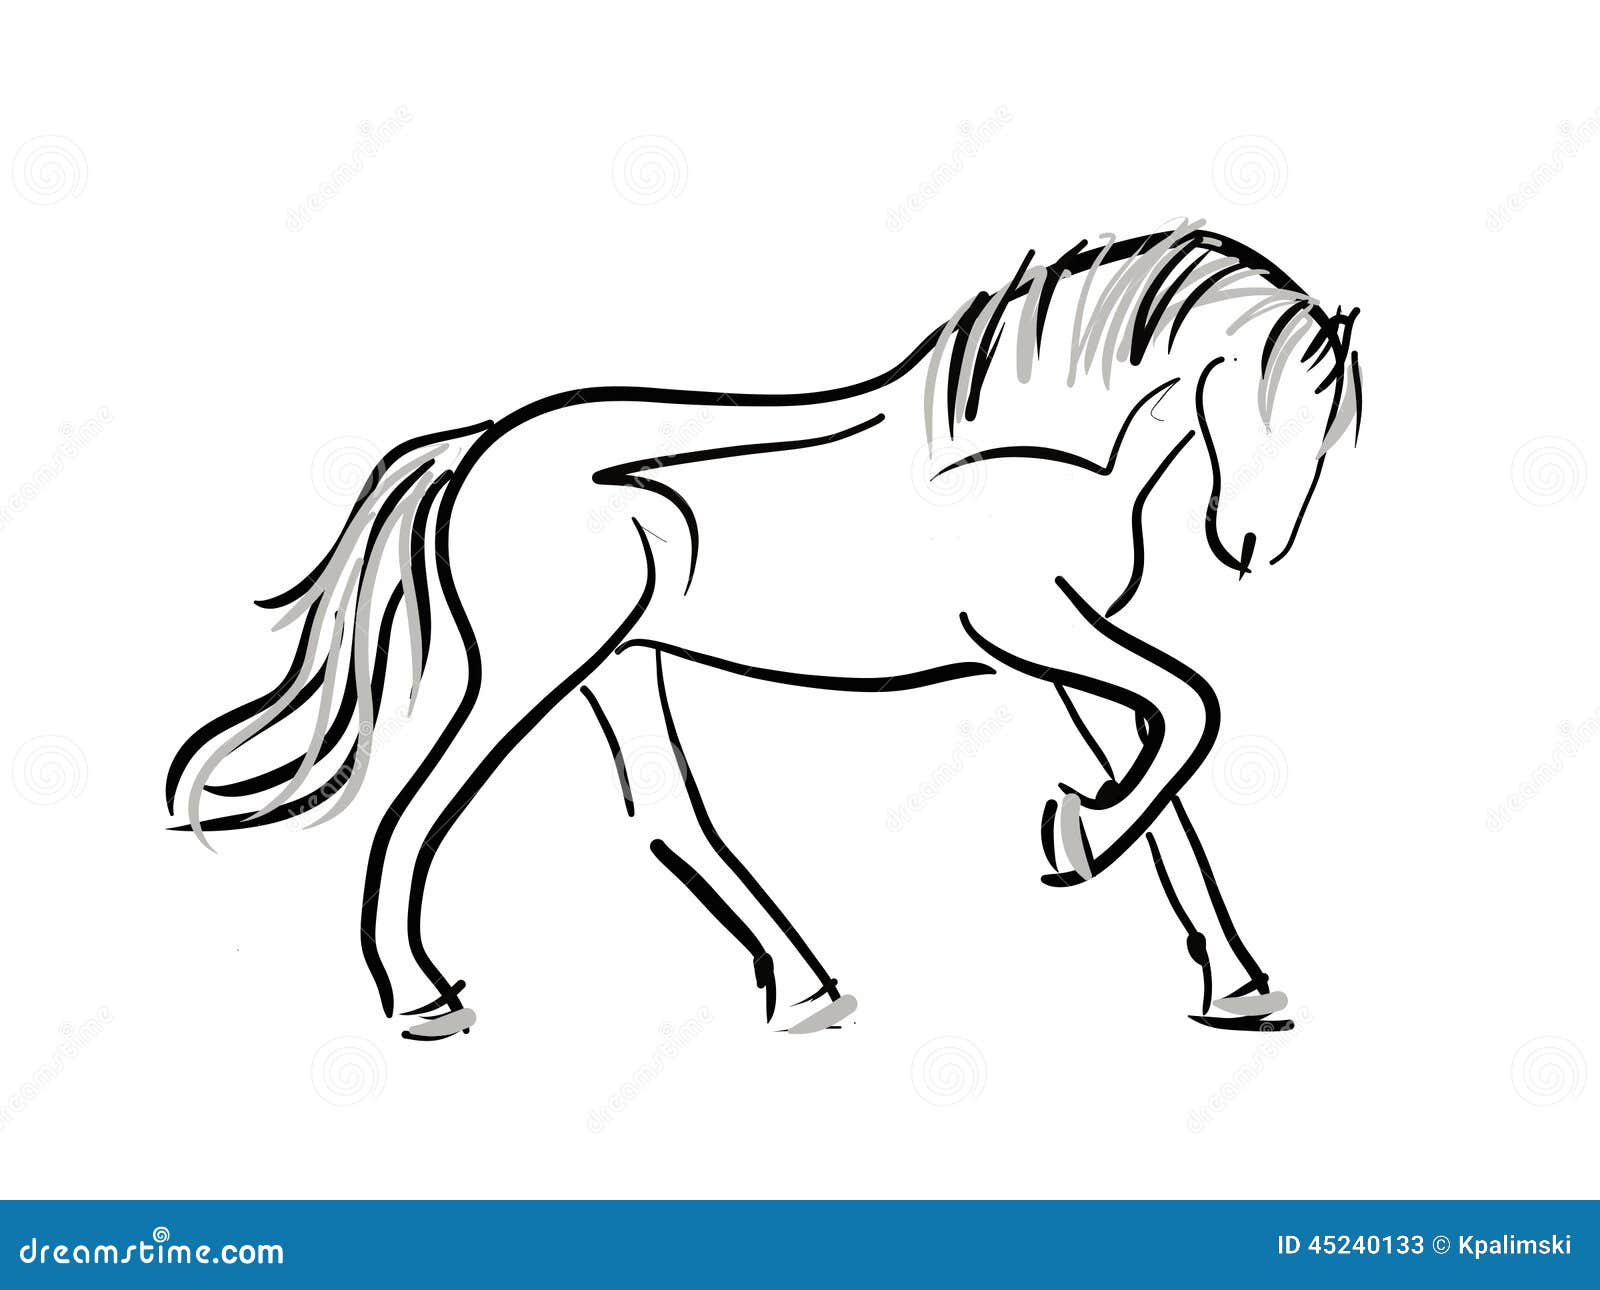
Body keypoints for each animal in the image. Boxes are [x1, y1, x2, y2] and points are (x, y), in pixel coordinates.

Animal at [167, 222, 1363, 1041]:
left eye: (1328, 428)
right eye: (1264, 398)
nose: (1253, 546)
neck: (1020, 449)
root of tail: (479, 446)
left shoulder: (1060, 644)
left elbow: (1168, 774)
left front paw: (1232, 979)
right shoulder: (1028, 626)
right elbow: (1193, 708)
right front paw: (1076, 837)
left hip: (621, 666)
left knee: (668, 816)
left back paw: (809, 991)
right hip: (533, 671)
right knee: (418, 810)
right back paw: (424, 1000)